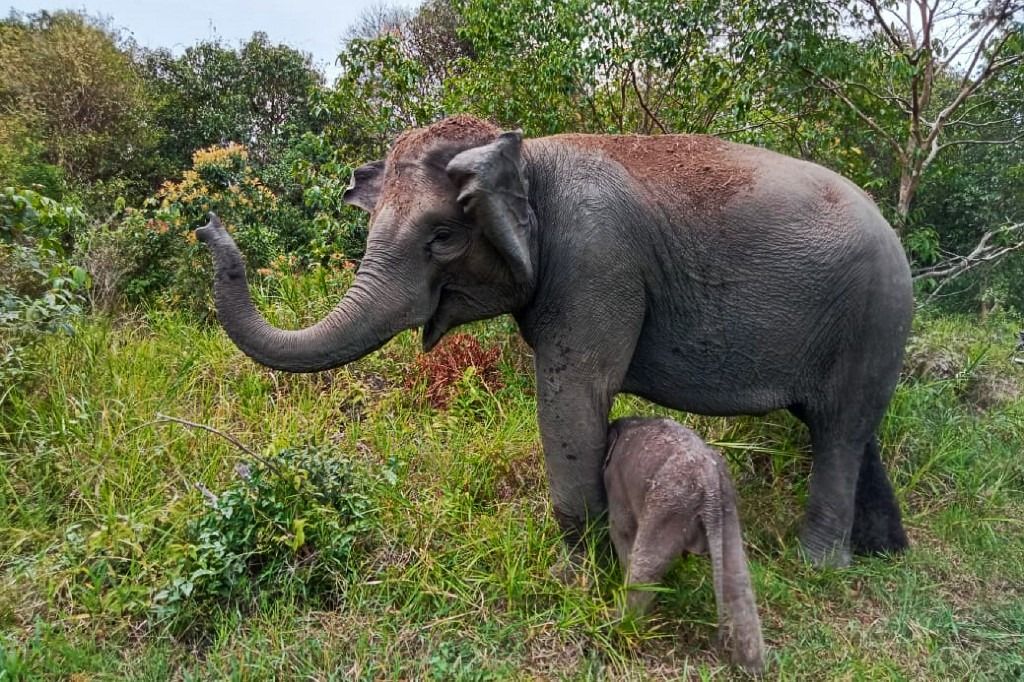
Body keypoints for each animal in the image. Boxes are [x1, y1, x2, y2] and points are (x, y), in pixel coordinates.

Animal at [196, 114, 913, 567]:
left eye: (442, 237)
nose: (207, 225)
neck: (524, 152)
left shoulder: (596, 263)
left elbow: (574, 395)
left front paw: (576, 575)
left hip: (873, 314)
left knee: (840, 431)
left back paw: (818, 567)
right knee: (848, 429)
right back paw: (883, 553)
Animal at [605, 416, 765, 674]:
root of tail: (710, 485)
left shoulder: (616, 486)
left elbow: (621, 530)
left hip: (670, 507)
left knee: (645, 568)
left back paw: (617, 628)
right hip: (727, 510)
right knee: (738, 580)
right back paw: (750, 667)